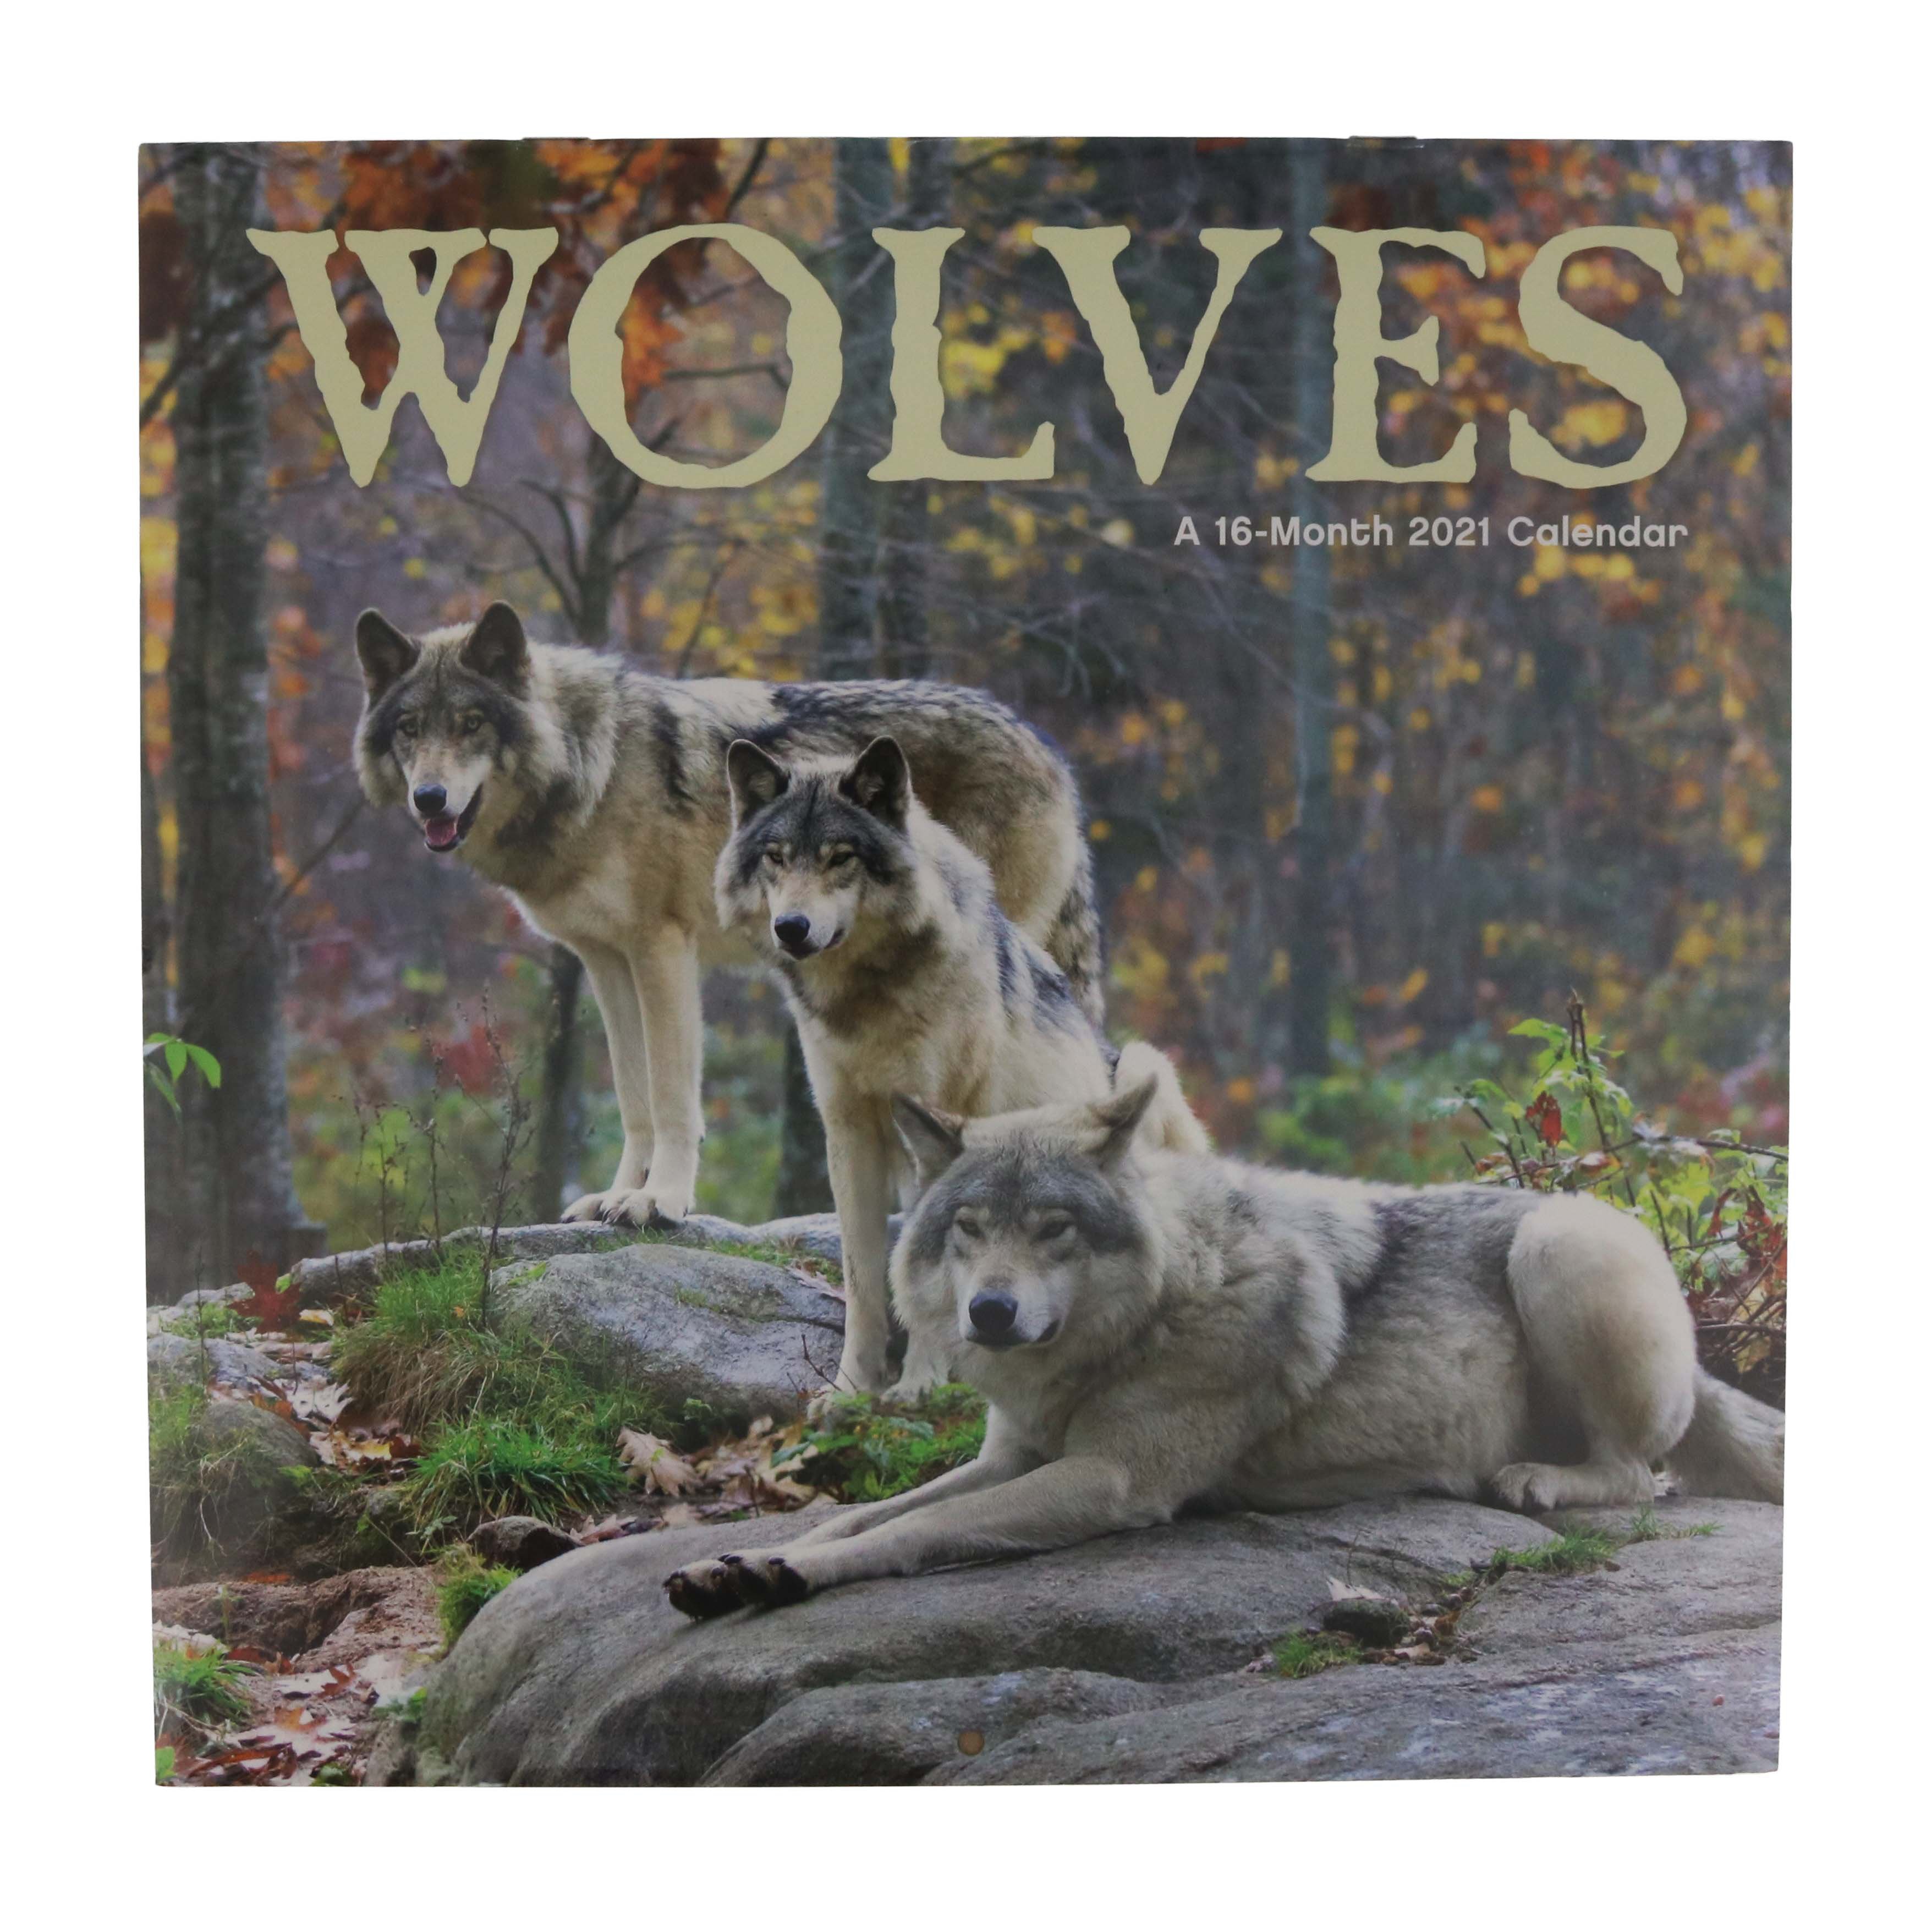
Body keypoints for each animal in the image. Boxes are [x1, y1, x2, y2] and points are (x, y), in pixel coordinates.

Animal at [351, 601, 1100, 1226]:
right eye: (410, 729)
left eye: (471, 724)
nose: (429, 797)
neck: (593, 768)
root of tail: (1048, 748)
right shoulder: (605, 959)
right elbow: (634, 1095)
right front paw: (616, 1194)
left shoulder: (661, 949)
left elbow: (672, 1095)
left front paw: (660, 1200)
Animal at [664, 1077, 1784, 1616]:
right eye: (972, 1228)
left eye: (1055, 1229)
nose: (990, 1312)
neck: (1159, 1307)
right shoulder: (1012, 1455)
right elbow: (861, 1517)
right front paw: (745, 1560)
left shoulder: (1110, 1479)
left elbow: (913, 1532)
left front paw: (789, 1576)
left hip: (1558, 1247)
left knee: (1639, 1475)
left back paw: (1537, 1481)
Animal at [715, 733, 1205, 1397]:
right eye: (776, 856)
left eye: (840, 857)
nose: (791, 928)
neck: (869, 999)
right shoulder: (848, 1132)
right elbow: (865, 1280)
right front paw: (850, 1390)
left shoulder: (940, 1123)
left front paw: (920, 1385)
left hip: (1140, 1064)